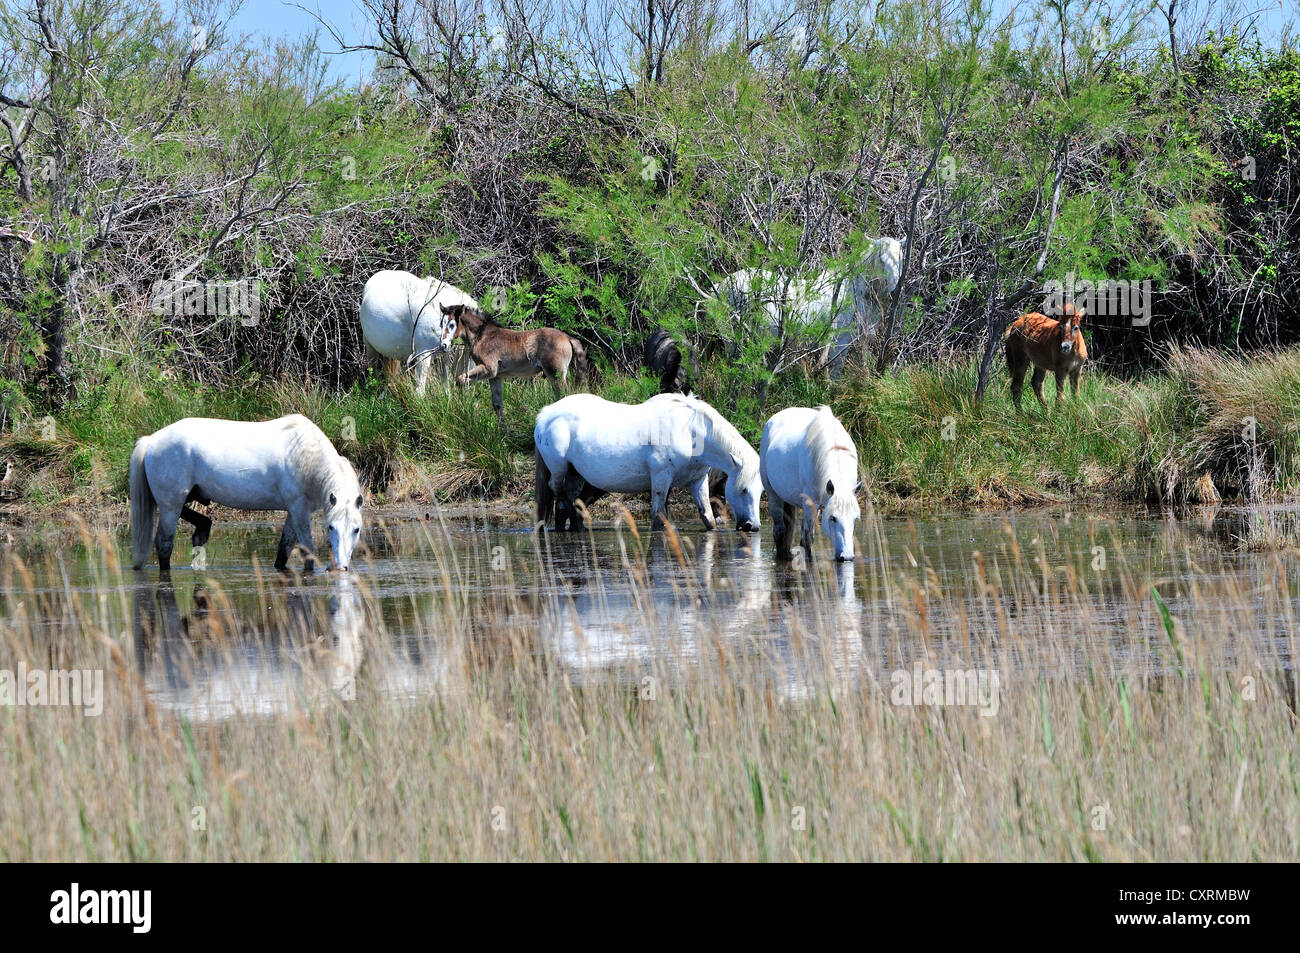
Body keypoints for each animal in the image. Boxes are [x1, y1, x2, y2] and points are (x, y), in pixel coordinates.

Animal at [129, 414, 364, 573]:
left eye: (357, 529)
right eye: (331, 527)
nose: (341, 567)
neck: (306, 455)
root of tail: (152, 440)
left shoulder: (295, 510)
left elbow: (284, 550)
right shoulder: (299, 510)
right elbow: (308, 551)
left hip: (184, 497)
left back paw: (202, 529)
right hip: (171, 504)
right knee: (164, 545)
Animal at [442, 303, 592, 421]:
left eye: (452, 324)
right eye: (441, 323)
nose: (444, 345)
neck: (483, 335)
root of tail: (567, 337)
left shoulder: (489, 369)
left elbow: (460, 379)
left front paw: (463, 408)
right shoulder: (495, 377)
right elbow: (497, 405)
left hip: (556, 374)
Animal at [533, 392, 763, 533]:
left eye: (761, 491)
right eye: (743, 490)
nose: (751, 526)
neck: (690, 431)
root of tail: (545, 414)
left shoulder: (697, 480)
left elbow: (707, 516)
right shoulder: (661, 477)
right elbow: (658, 516)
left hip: (575, 473)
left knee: (571, 501)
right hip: (559, 469)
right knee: (561, 500)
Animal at [760, 405, 861, 562]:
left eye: (855, 519)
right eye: (833, 518)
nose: (847, 556)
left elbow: (805, 538)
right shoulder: (810, 503)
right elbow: (808, 540)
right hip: (773, 495)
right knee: (779, 531)